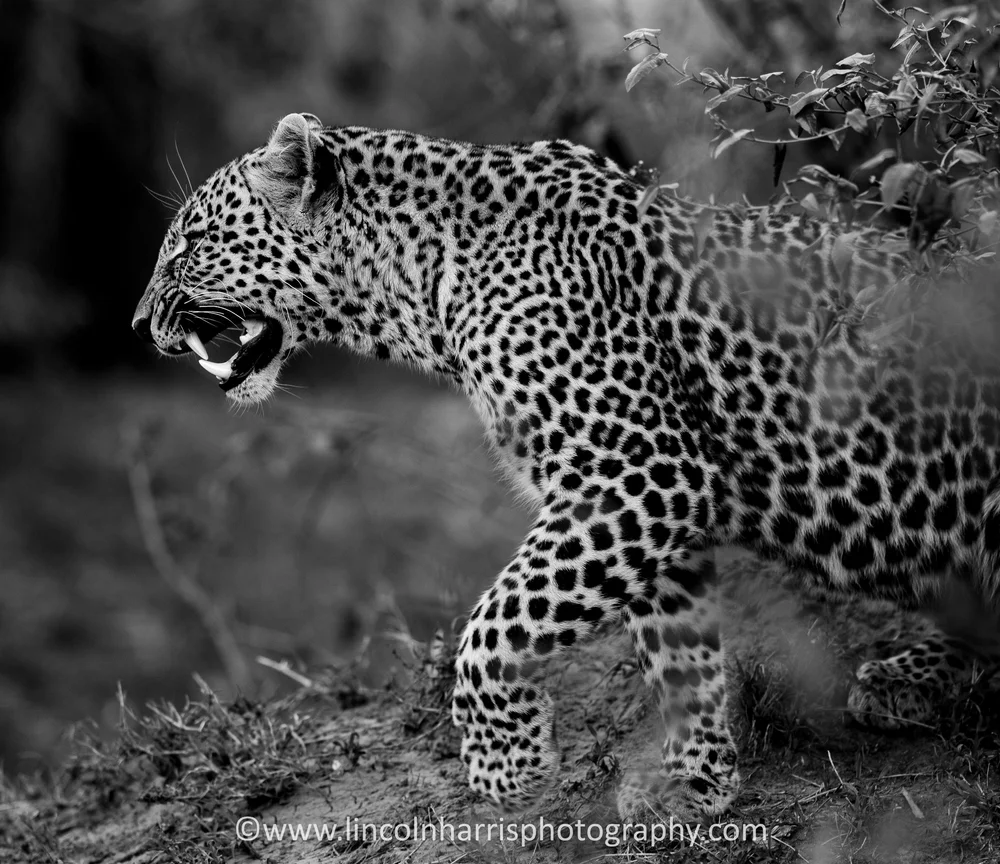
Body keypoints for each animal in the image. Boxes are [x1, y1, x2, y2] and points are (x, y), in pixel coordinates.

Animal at [133, 112, 1000, 822]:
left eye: (191, 244)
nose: (138, 323)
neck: (419, 281)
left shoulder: (638, 470)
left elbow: (490, 629)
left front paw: (506, 763)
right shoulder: (649, 506)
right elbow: (679, 653)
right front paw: (696, 783)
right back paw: (906, 678)